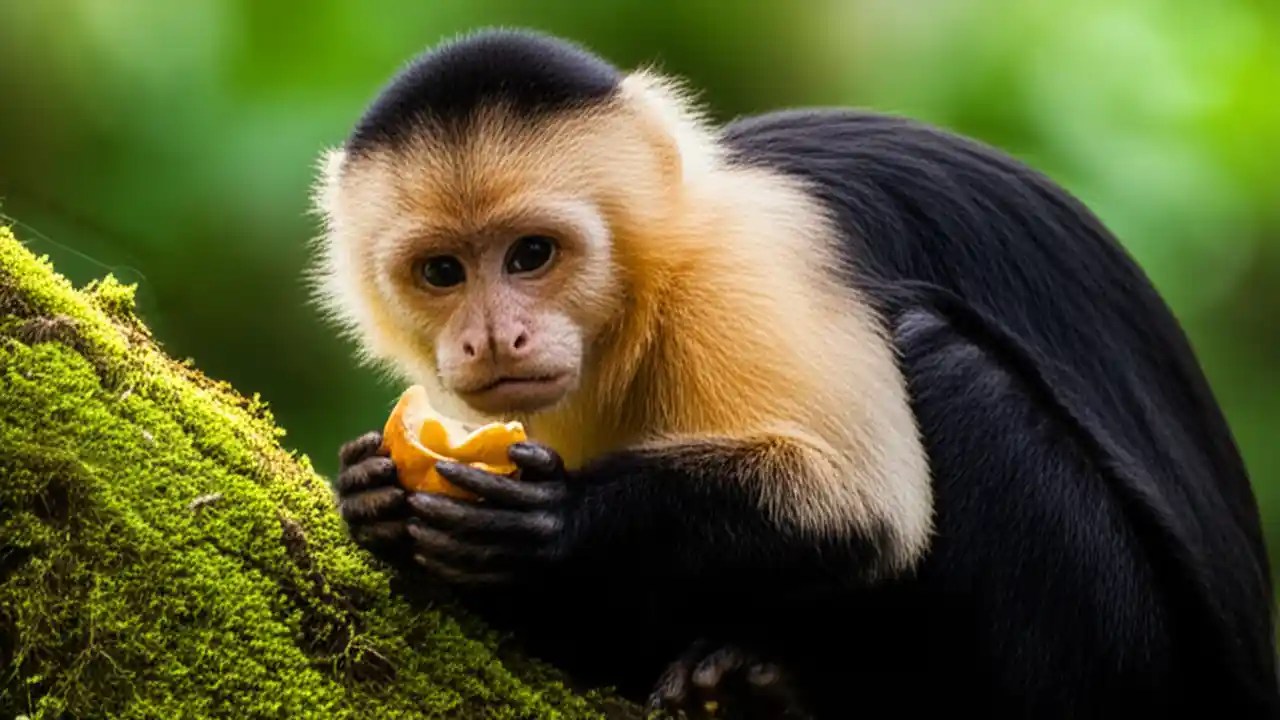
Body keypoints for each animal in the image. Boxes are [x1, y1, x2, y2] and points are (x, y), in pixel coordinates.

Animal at [308, 28, 1280, 718]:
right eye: (443, 273)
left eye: (532, 256)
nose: (494, 340)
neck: (648, 289)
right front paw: (371, 495)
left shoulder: (749, 259)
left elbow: (860, 508)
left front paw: (561, 519)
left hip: (1144, 668)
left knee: (948, 362)